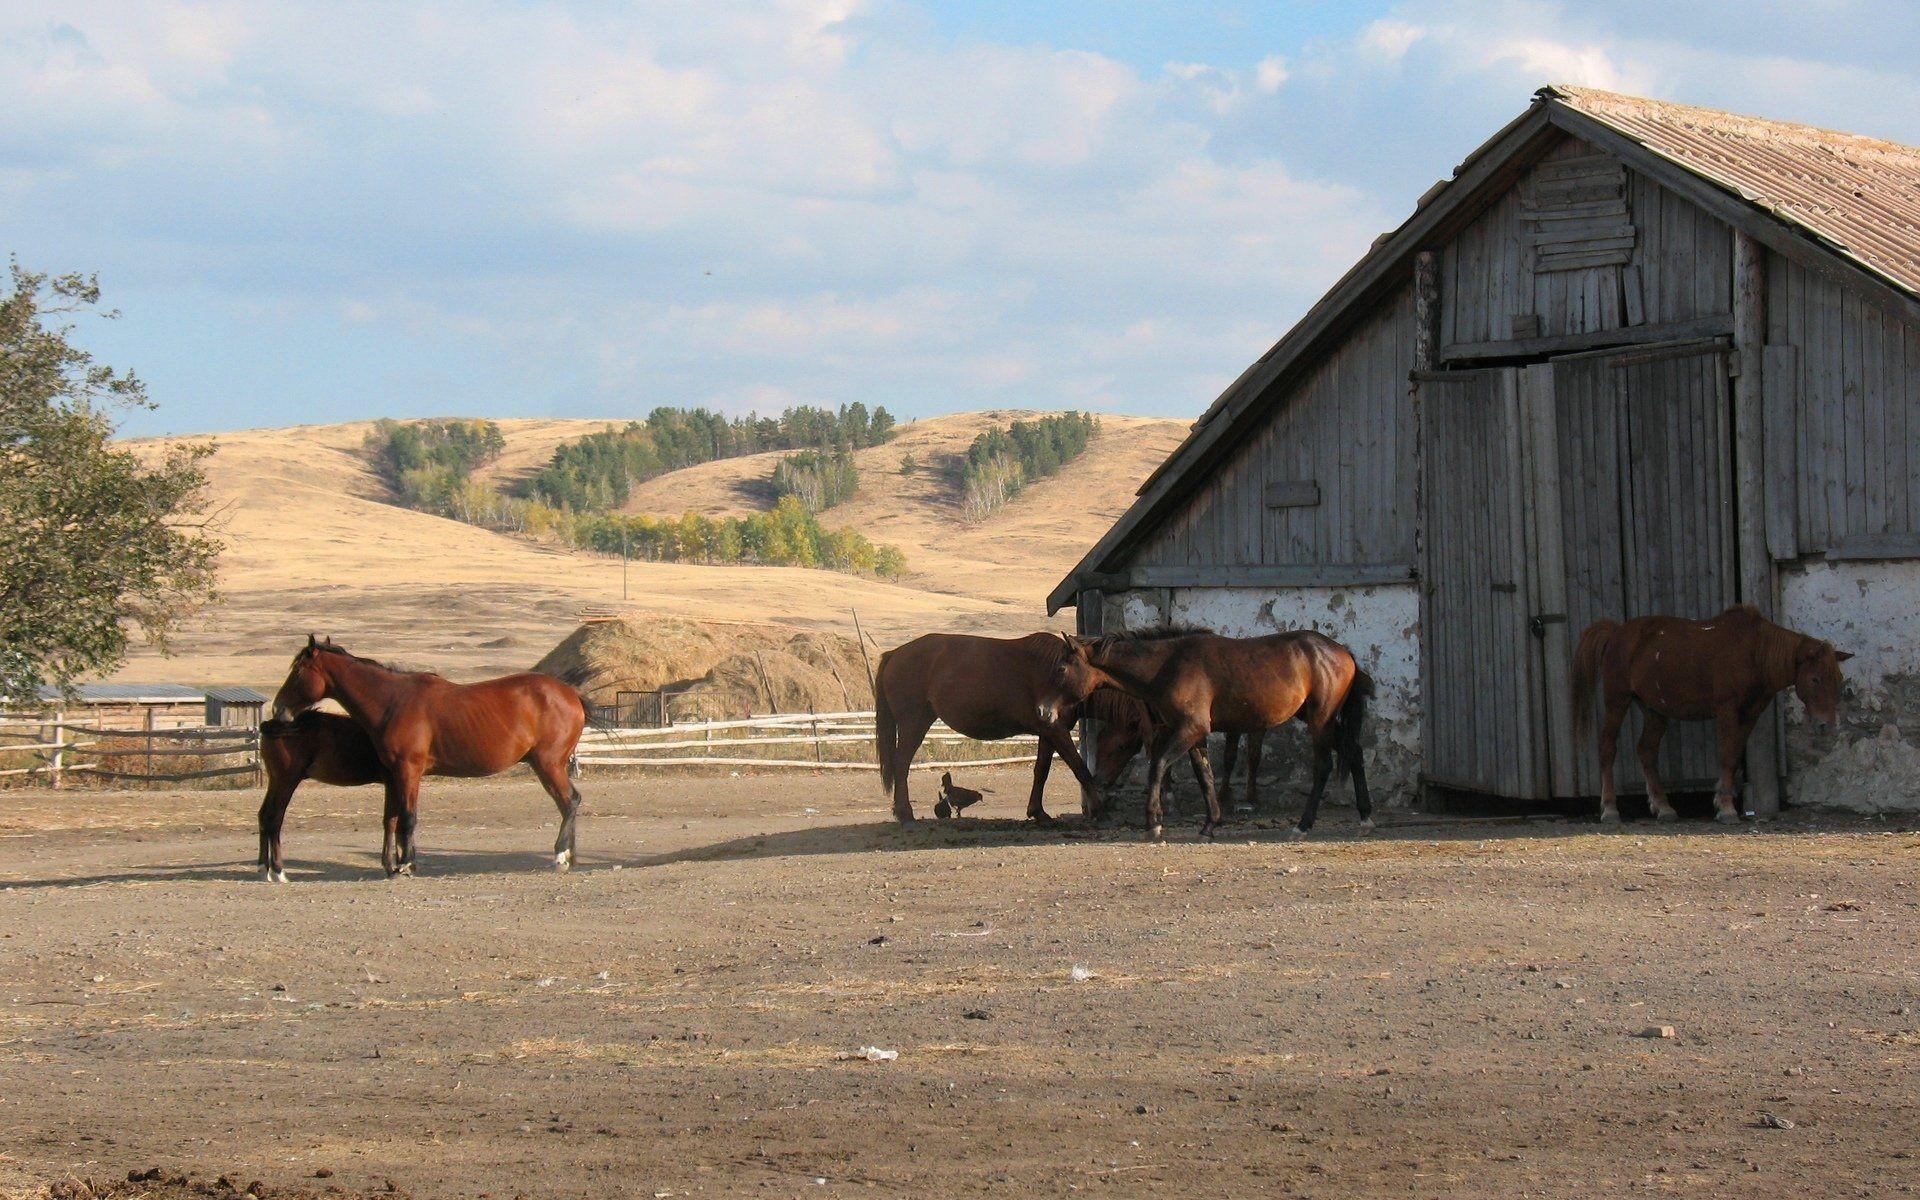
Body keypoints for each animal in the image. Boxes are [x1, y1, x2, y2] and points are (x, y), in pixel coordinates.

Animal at [256, 711, 386, 882]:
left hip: (276, 782)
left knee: (264, 815)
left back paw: (263, 868)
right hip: (286, 781)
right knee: (274, 817)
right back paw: (278, 871)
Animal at [271, 636, 589, 876]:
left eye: (297, 672)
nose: (278, 709)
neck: (393, 701)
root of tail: (571, 694)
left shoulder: (408, 770)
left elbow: (408, 817)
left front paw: (407, 864)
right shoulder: (395, 775)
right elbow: (393, 818)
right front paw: (395, 864)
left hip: (549, 764)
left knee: (569, 801)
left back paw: (561, 856)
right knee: (568, 803)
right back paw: (570, 857)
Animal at [873, 631, 1107, 822]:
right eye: (1060, 669)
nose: (1042, 707)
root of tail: (896, 653)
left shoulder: (1048, 732)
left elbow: (1041, 770)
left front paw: (1038, 812)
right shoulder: (1055, 730)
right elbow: (1079, 767)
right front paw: (1098, 808)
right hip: (913, 724)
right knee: (901, 764)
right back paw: (905, 814)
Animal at [1062, 626, 1373, 841]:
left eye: (1064, 667)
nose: (1051, 710)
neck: (1168, 665)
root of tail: (1343, 652)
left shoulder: (1190, 729)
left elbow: (1158, 766)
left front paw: (1154, 823)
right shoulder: (1195, 736)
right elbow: (1205, 777)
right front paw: (1209, 824)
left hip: (1320, 721)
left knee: (1324, 766)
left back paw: (1303, 825)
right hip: (1318, 719)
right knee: (1354, 752)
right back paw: (1365, 817)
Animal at [1572, 604, 1851, 824]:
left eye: (1838, 679)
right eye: (1815, 679)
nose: (1826, 725)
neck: (1755, 652)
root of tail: (1616, 632)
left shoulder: (1750, 714)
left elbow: (1735, 755)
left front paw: (1722, 801)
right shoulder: (1727, 709)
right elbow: (1726, 755)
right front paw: (1726, 809)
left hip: (1654, 709)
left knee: (1647, 751)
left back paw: (1663, 807)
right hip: (1617, 701)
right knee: (1608, 748)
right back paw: (1610, 810)